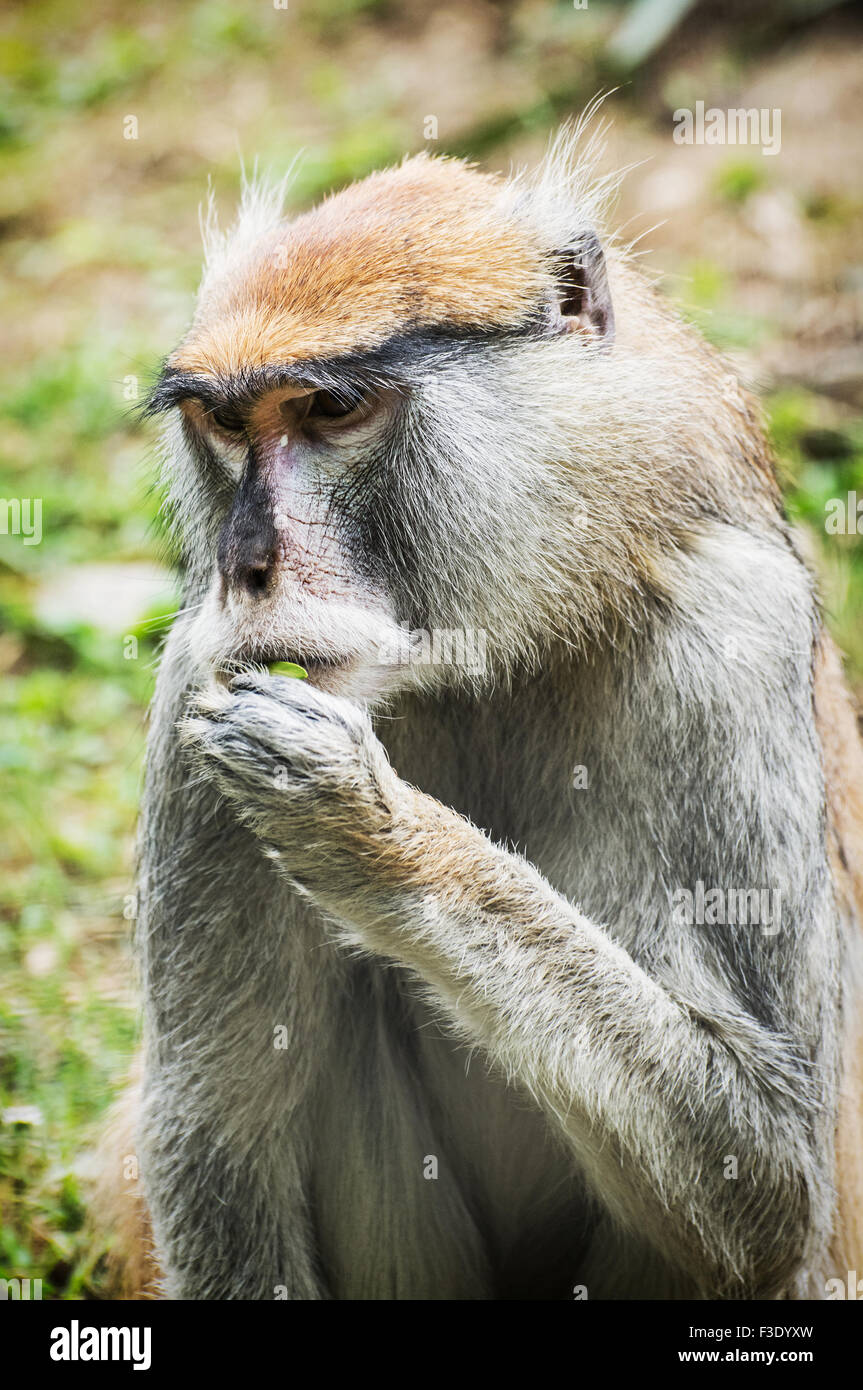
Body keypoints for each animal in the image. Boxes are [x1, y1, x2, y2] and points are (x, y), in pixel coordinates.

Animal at [109, 125, 863, 1300]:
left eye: (331, 410)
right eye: (227, 421)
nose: (246, 564)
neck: (502, 637)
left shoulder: (729, 634)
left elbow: (764, 1181)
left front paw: (380, 836)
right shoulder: (205, 672)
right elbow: (217, 1140)